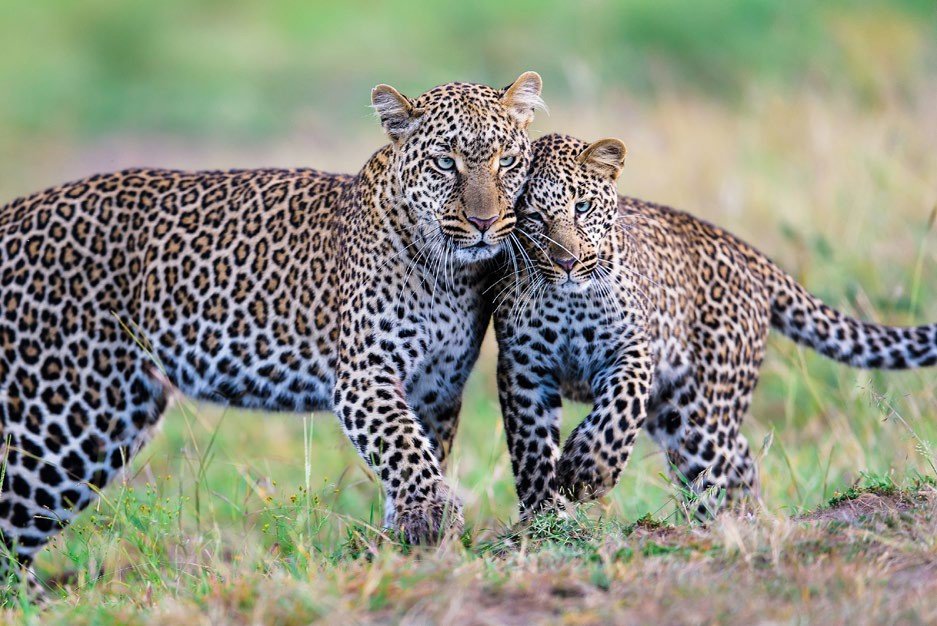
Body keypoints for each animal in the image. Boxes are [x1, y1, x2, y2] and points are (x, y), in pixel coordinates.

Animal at [0, 72, 545, 582]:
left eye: (507, 163)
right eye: (444, 163)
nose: (484, 222)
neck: (451, 273)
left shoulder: (438, 389)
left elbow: (416, 451)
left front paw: (401, 540)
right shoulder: (365, 375)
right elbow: (401, 445)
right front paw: (429, 514)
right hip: (62, 415)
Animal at [493, 132, 937, 520]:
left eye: (582, 207)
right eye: (533, 217)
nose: (567, 262)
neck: (567, 297)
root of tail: (745, 250)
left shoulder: (632, 351)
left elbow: (619, 408)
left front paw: (588, 471)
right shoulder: (523, 368)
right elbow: (531, 447)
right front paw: (543, 520)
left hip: (699, 410)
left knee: (715, 468)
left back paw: (722, 525)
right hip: (678, 413)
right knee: (737, 458)